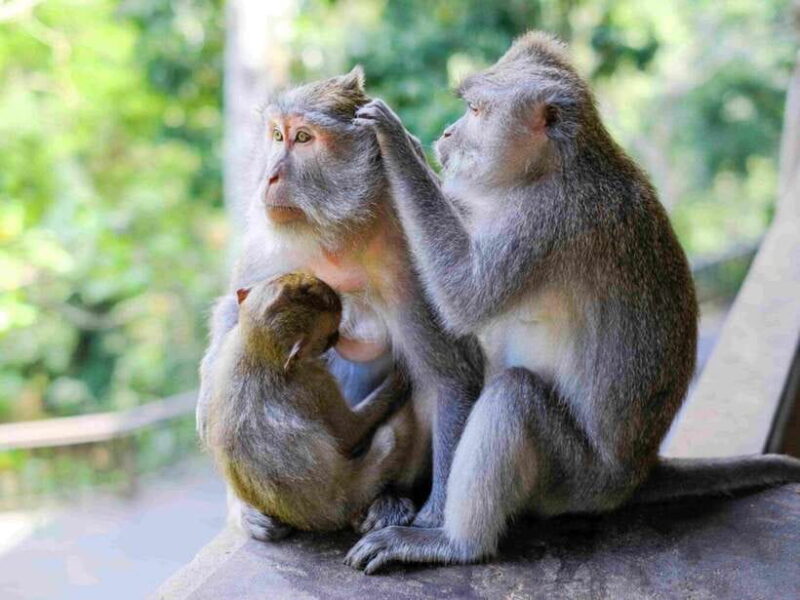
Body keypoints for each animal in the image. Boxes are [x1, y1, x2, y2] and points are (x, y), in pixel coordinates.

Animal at [205, 273, 419, 534]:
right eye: (331, 334)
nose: (338, 338)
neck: (259, 350)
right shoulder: (315, 381)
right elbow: (348, 432)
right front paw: (399, 380)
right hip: (354, 487)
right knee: (389, 438)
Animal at [345, 32, 800, 573]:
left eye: (475, 109)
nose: (448, 132)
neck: (550, 167)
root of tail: (637, 473)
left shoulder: (545, 219)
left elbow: (465, 297)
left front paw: (395, 142)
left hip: (577, 479)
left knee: (515, 397)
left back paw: (455, 544)